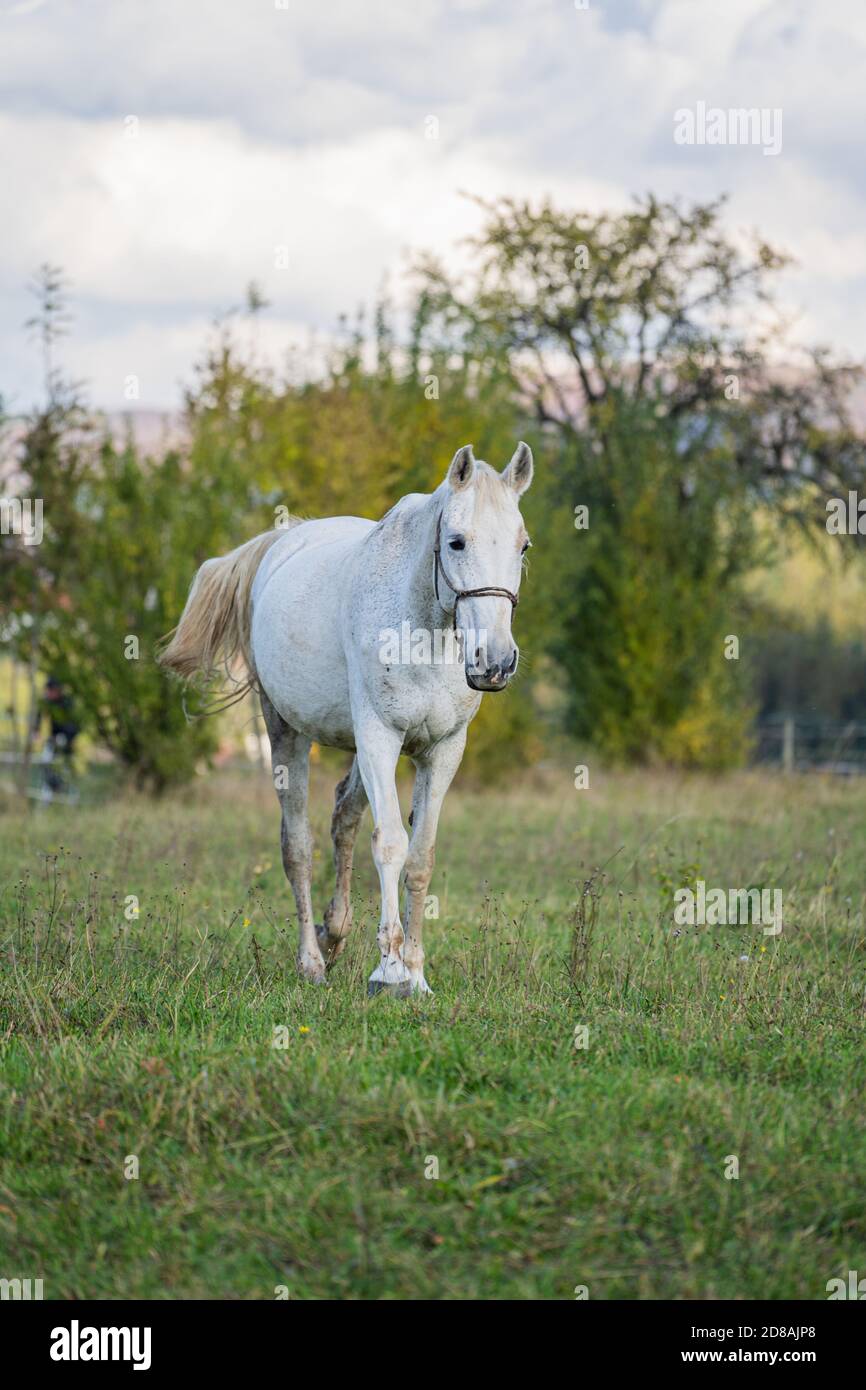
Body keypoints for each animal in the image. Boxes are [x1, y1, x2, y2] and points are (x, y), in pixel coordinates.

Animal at [159, 442, 534, 996]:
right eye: (456, 542)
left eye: (522, 546)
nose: (496, 661)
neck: (422, 628)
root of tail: (282, 542)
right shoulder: (380, 736)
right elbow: (390, 844)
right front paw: (389, 970)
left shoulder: (443, 750)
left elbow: (420, 857)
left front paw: (415, 972)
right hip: (286, 731)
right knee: (298, 845)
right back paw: (312, 961)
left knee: (343, 818)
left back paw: (333, 935)